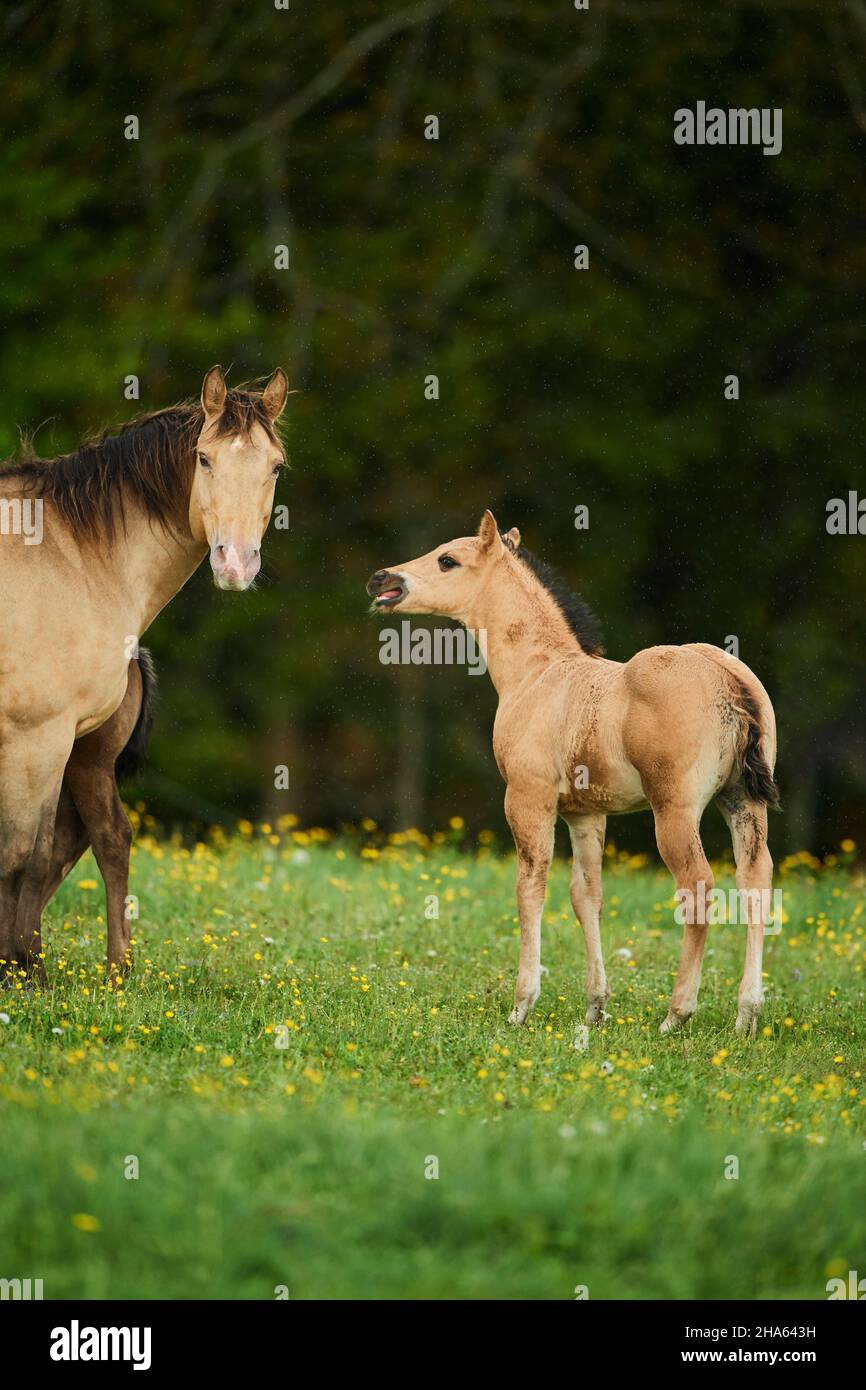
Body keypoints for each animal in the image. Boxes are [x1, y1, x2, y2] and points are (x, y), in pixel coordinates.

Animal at [0, 366, 288, 978]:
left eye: (275, 466)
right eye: (205, 458)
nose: (235, 564)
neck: (70, 553)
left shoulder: (54, 741)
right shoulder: (37, 737)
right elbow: (23, 855)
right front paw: (23, 970)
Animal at [367, 510, 779, 1037]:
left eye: (447, 560)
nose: (383, 579)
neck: (536, 674)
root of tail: (732, 681)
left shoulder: (528, 799)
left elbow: (530, 889)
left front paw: (521, 1006)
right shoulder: (585, 813)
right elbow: (587, 896)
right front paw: (596, 1007)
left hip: (675, 809)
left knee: (699, 888)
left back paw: (676, 1013)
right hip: (743, 802)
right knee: (756, 882)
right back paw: (747, 1015)